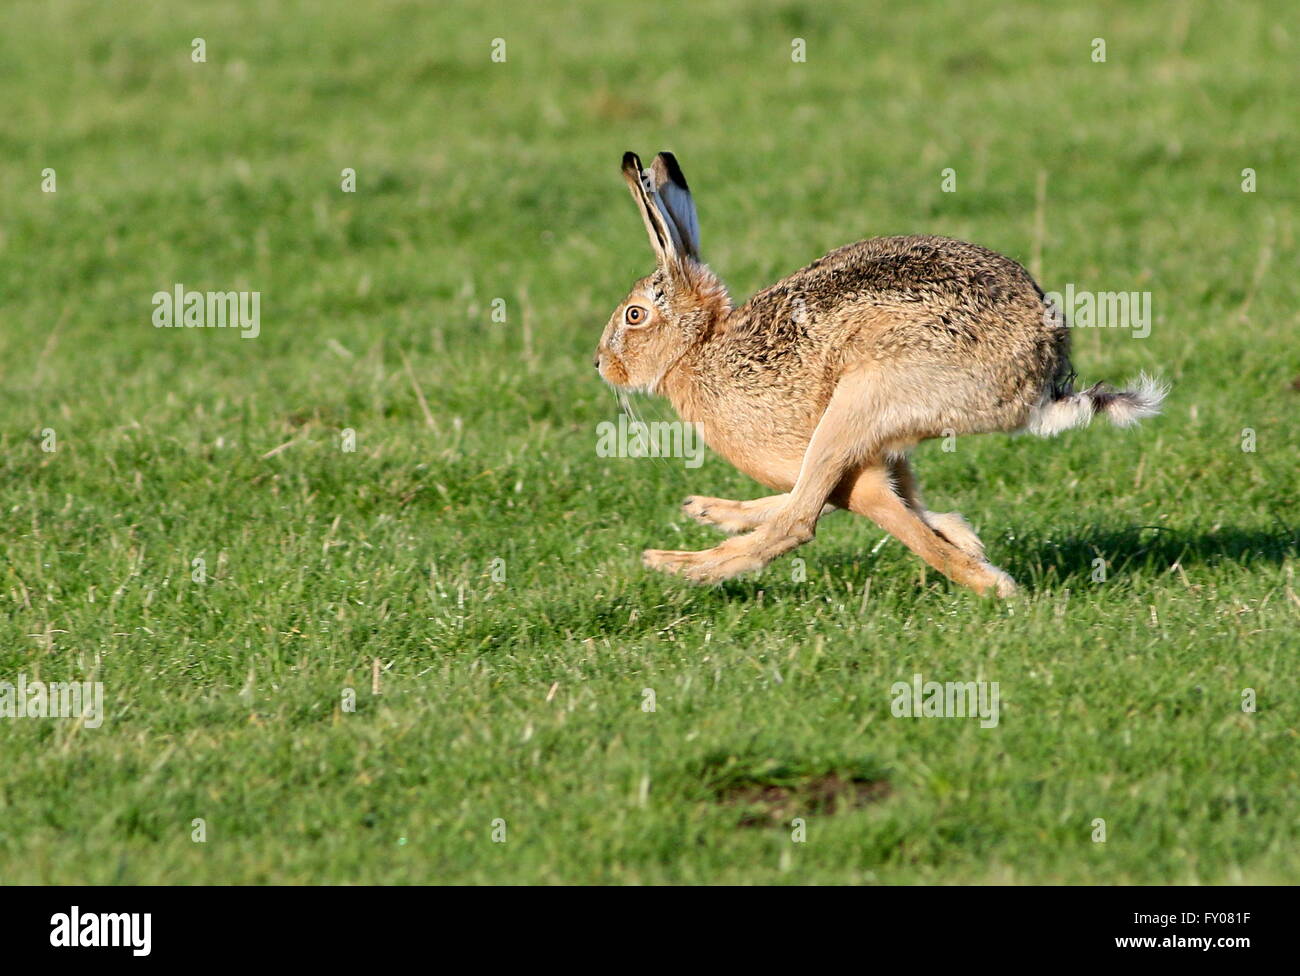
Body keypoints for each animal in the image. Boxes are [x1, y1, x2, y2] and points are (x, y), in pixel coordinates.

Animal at [593, 151, 1167, 597]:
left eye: (634, 316)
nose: (601, 364)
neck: (700, 348)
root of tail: (1043, 374)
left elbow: (842, 506)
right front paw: (967, 537)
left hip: (862, 400)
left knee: (801, 519)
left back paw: (679, 564)